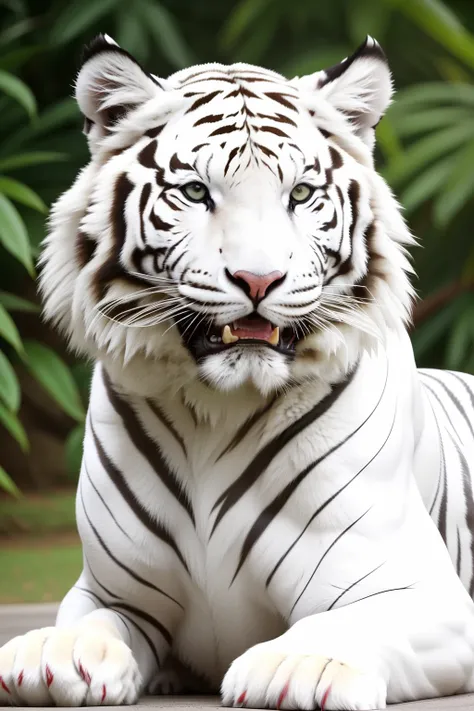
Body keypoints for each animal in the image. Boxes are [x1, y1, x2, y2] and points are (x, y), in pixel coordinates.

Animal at [1, 32, 474, 710]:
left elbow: (342, 624)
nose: (258, 279)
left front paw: (301, 664)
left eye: (300, 194)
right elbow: (89, 622)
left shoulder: (421, 592)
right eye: (196, 193)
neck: (217, 410)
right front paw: (52, 652)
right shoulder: (114, 591)